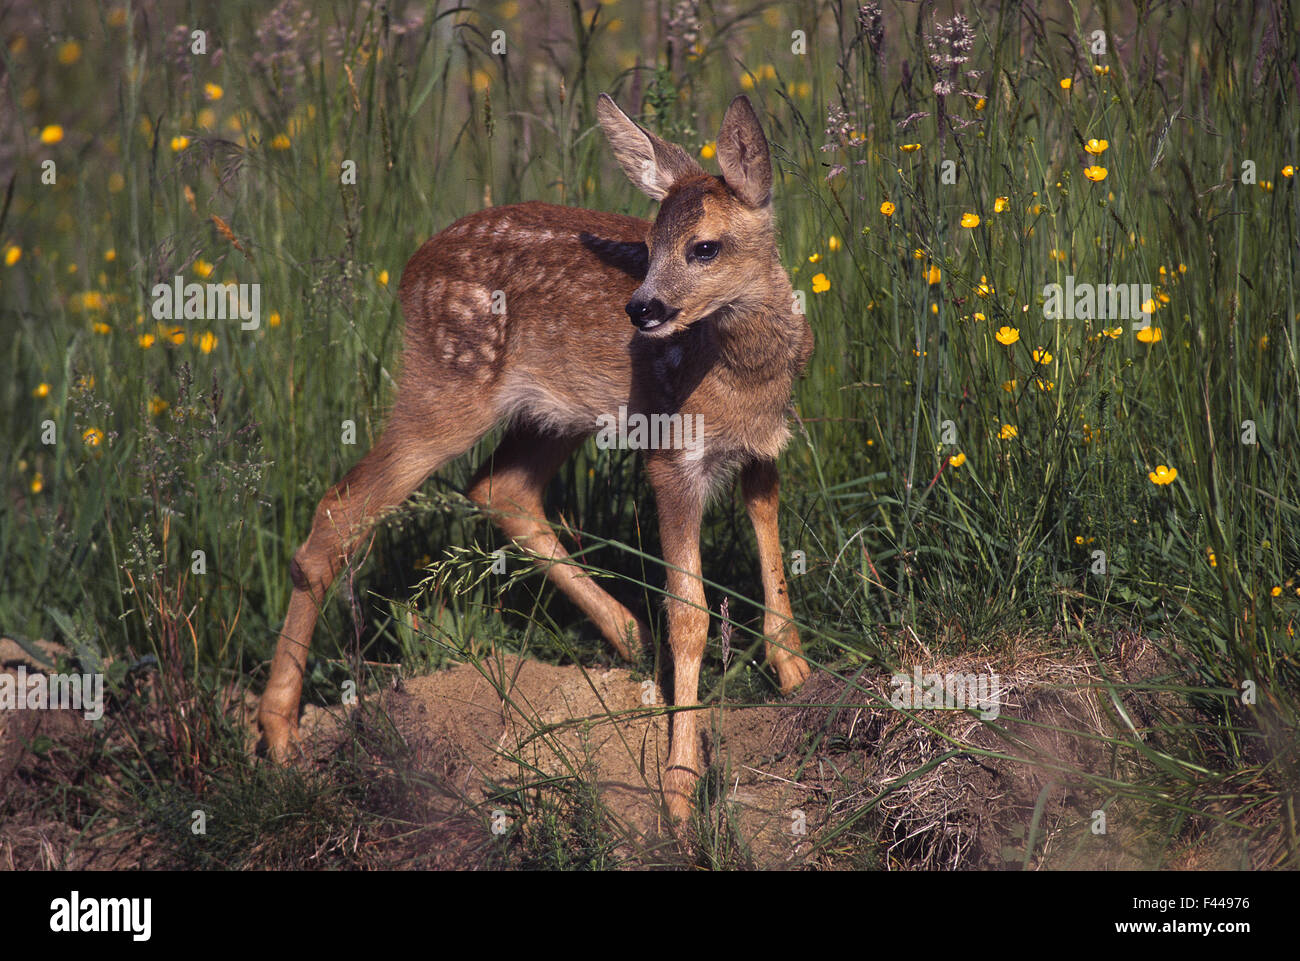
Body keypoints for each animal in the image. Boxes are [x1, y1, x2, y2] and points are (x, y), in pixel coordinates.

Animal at [258, 93, 813, 825]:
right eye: (650, 243)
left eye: (704, 246)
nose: (642, 308)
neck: (742, 375)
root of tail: (409, 271)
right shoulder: (670, 454)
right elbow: (690, 614)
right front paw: (678, 787)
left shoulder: (764, 449)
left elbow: (774, 563)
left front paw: (799, 675)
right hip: (447, 387)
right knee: (342, 510)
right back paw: (278, 731)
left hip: (555, 410)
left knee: (498, 487)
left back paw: (627, 634)